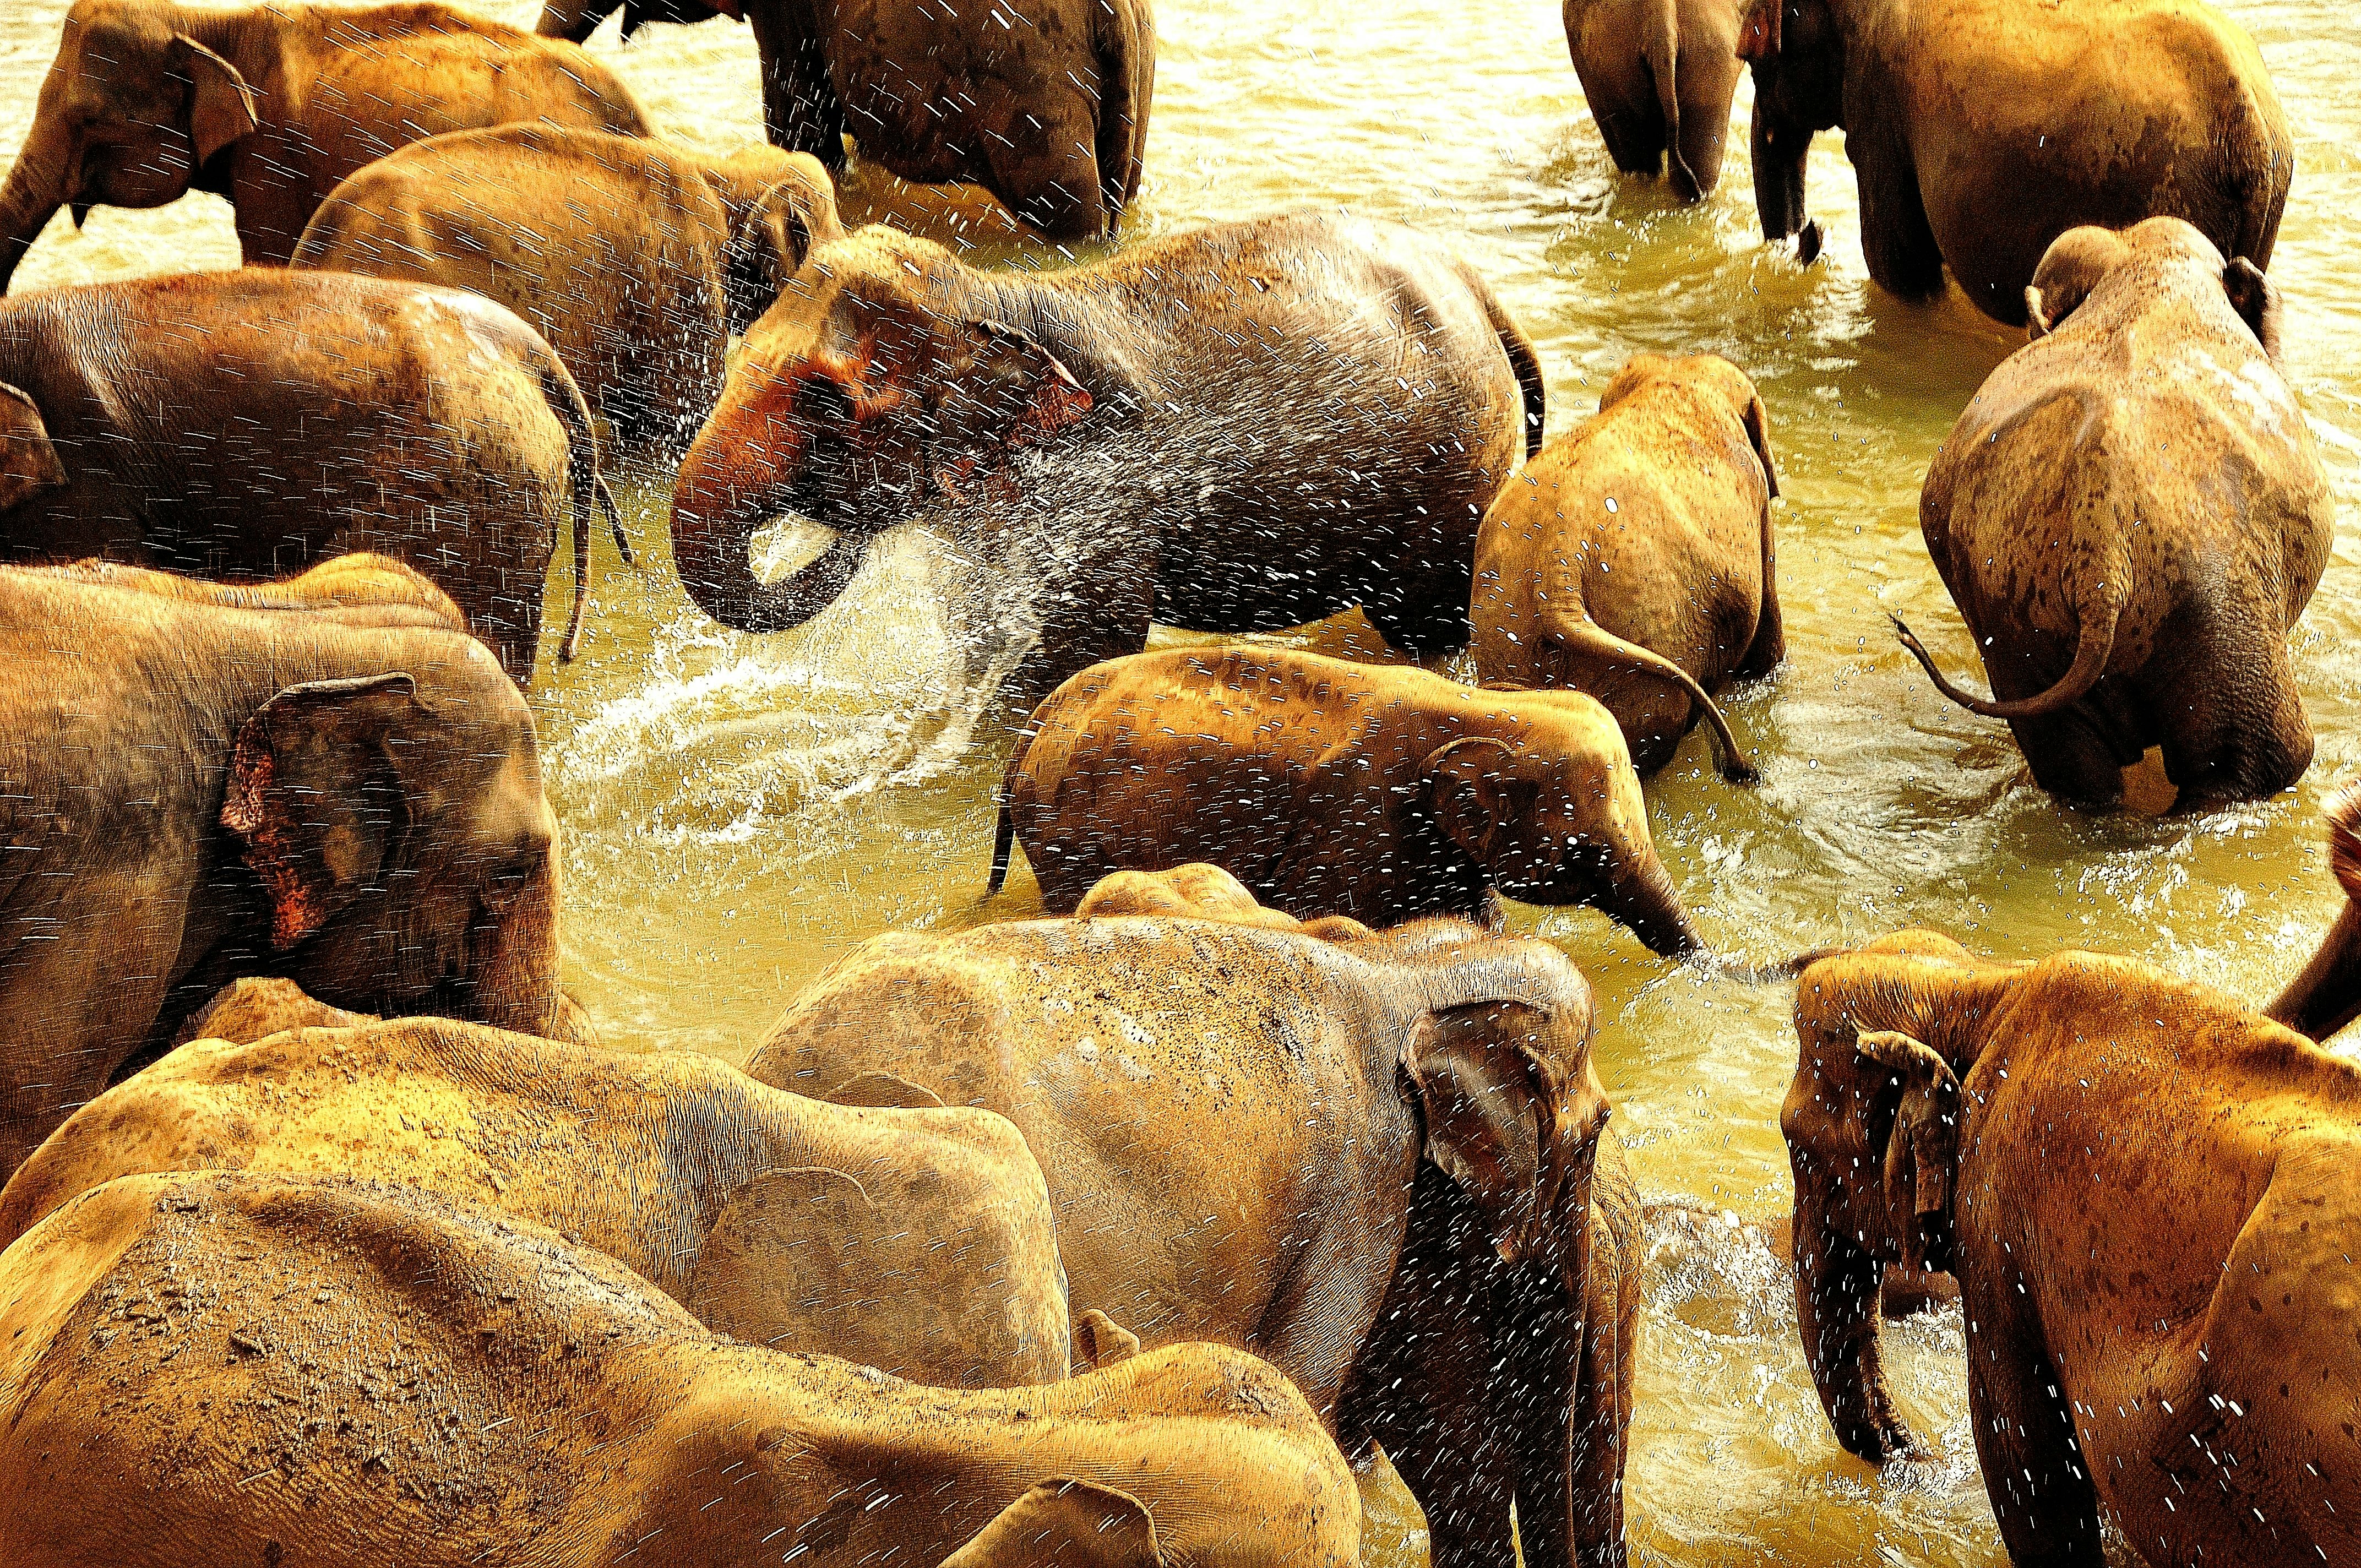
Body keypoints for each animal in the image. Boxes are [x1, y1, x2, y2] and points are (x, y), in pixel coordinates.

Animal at [672, 205, 1546, 714]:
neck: (990, 297)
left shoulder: (1103, 493)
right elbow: (979, 630)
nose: (836, 539)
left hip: (1453, 481)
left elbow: (1082, 650)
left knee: (1428, 620)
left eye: (825, 401)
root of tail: (1481, 292)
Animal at [1893, 219, 2331, 804]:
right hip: (2222, 603)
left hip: (2011, 619)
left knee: (2075, 766)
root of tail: (2100, 558)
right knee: (2259, 765)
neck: (2140, 267)